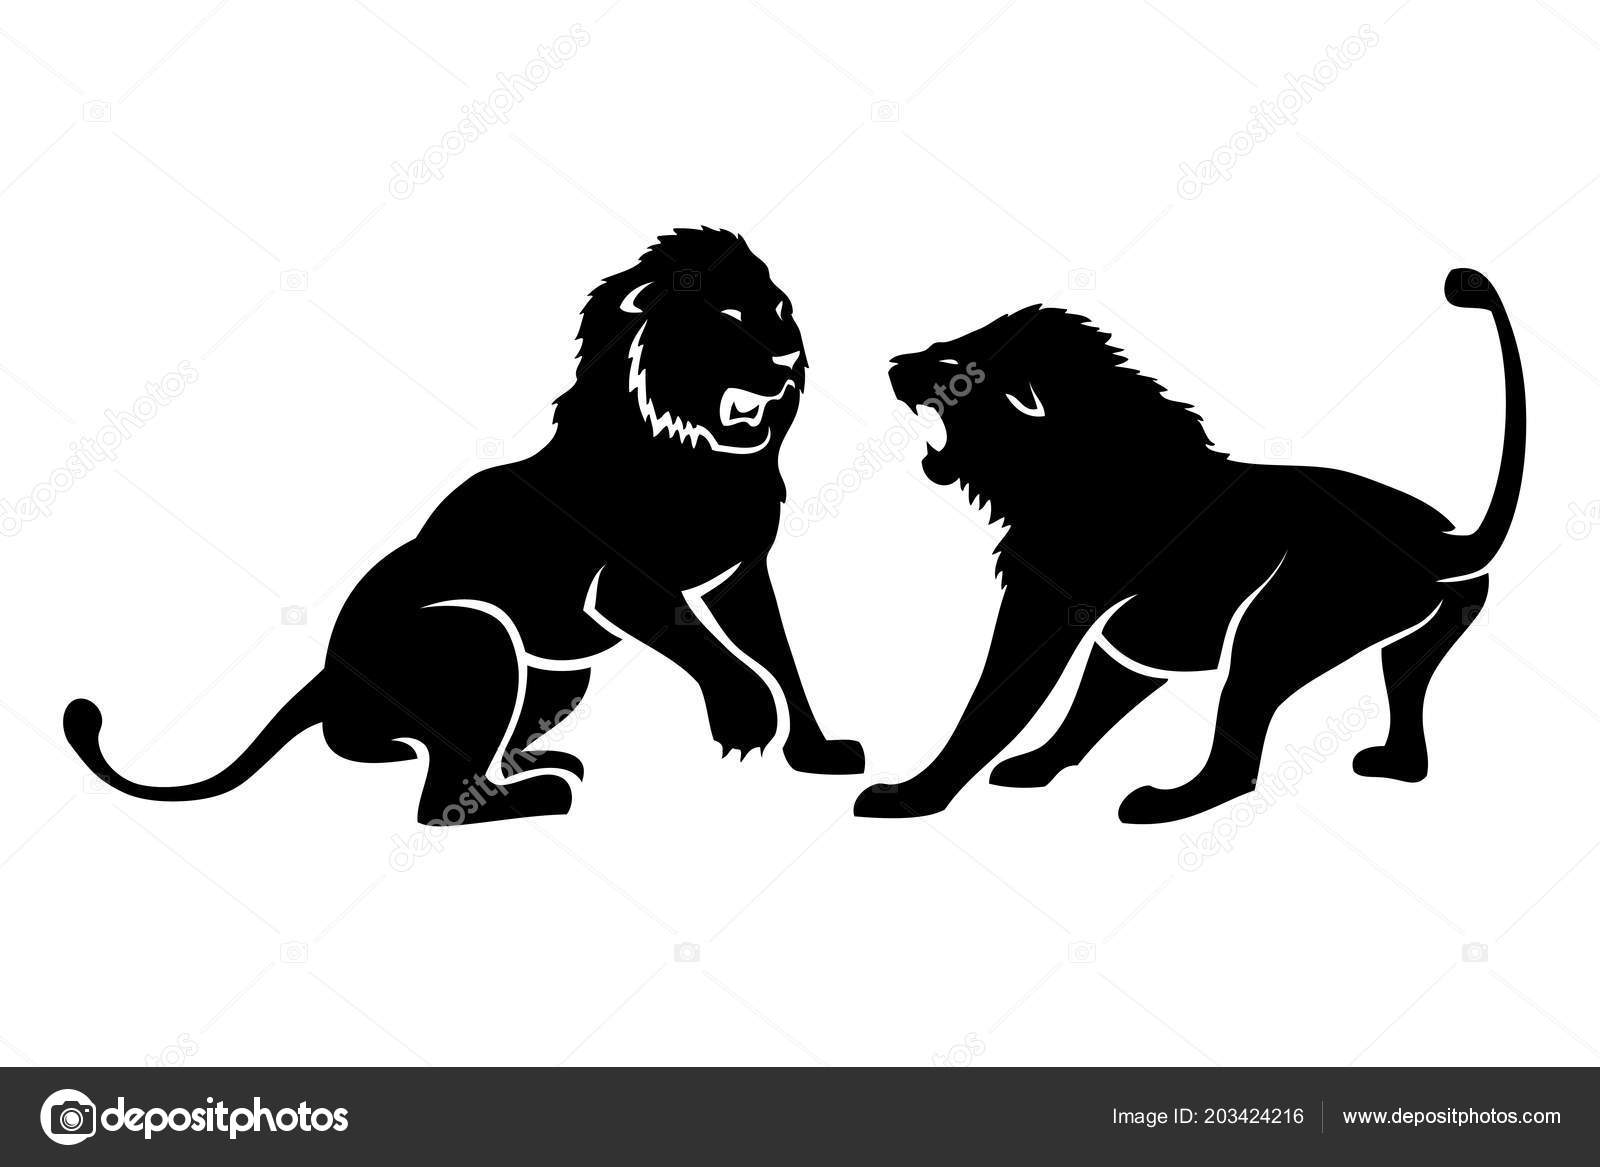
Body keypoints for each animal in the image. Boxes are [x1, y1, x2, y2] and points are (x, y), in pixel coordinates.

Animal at [67, 227, 863, 824]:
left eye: (781, 310)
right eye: (728, 319)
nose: (787, 359)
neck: (705, 455)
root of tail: (328, 672)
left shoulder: (742, 576)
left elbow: (783, 660)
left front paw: (818, 753)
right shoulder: (627, 587)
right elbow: (717, 651)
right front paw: (745, 719)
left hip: (557, 675)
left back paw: (535, 763)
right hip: (474, 633)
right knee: (436, 801)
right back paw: (539, 795)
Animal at [855, 268, 1523, 823]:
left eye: (954, 366)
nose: (892, 365)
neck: (1074, 466)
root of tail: (1444, 538)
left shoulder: (1052, 602)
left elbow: (995, 704)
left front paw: (915, 796)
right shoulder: (1156, 624)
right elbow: (1098, 692)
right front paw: (1038, 768)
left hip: (1284, 623)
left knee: (1241, 757)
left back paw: (1166, 805)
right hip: (1423, 628)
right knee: (1405, 690)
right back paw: (1396, 766)